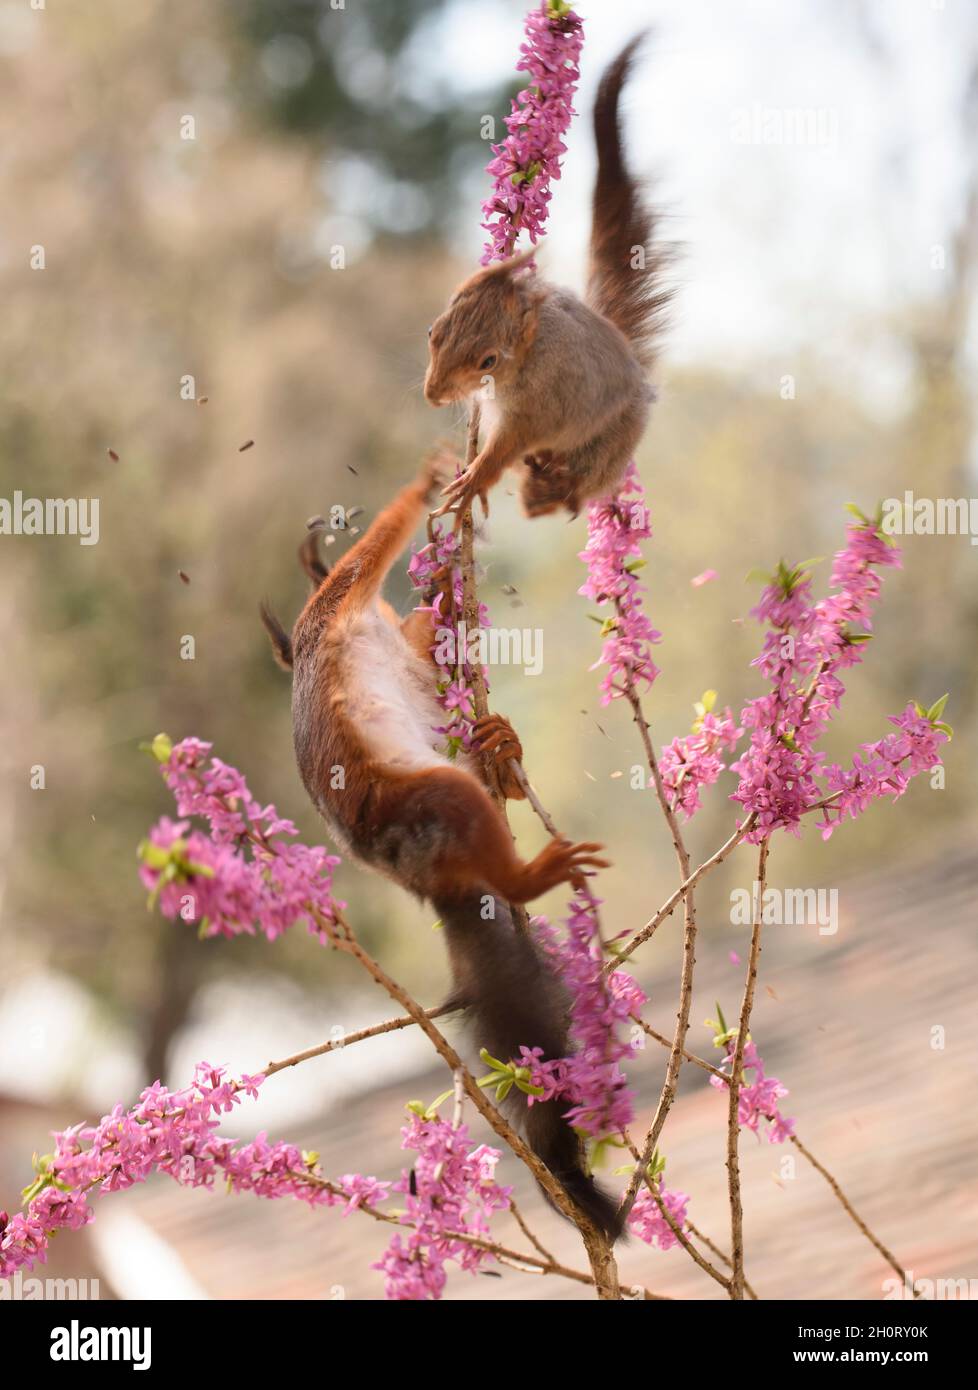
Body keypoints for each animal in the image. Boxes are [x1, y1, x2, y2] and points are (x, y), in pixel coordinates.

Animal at [261, 455, 621, 1239]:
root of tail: (436, 886)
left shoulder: (399, 637)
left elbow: (428, 634)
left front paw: (447, 572)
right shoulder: (339, 603)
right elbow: (374, 555)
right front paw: (428, 484)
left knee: (486, 775)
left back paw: (503, 745)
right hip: (434, 798)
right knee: (502, 870)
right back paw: (536, 871)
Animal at [424, 36, 669, 522]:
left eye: (488, 361)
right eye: (432, 332)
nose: (433, 395)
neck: (529, 352)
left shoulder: (538, 411)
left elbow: (502, 451)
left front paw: (472, 482)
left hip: (605, 445)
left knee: (578, 481)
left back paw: (549, 490)